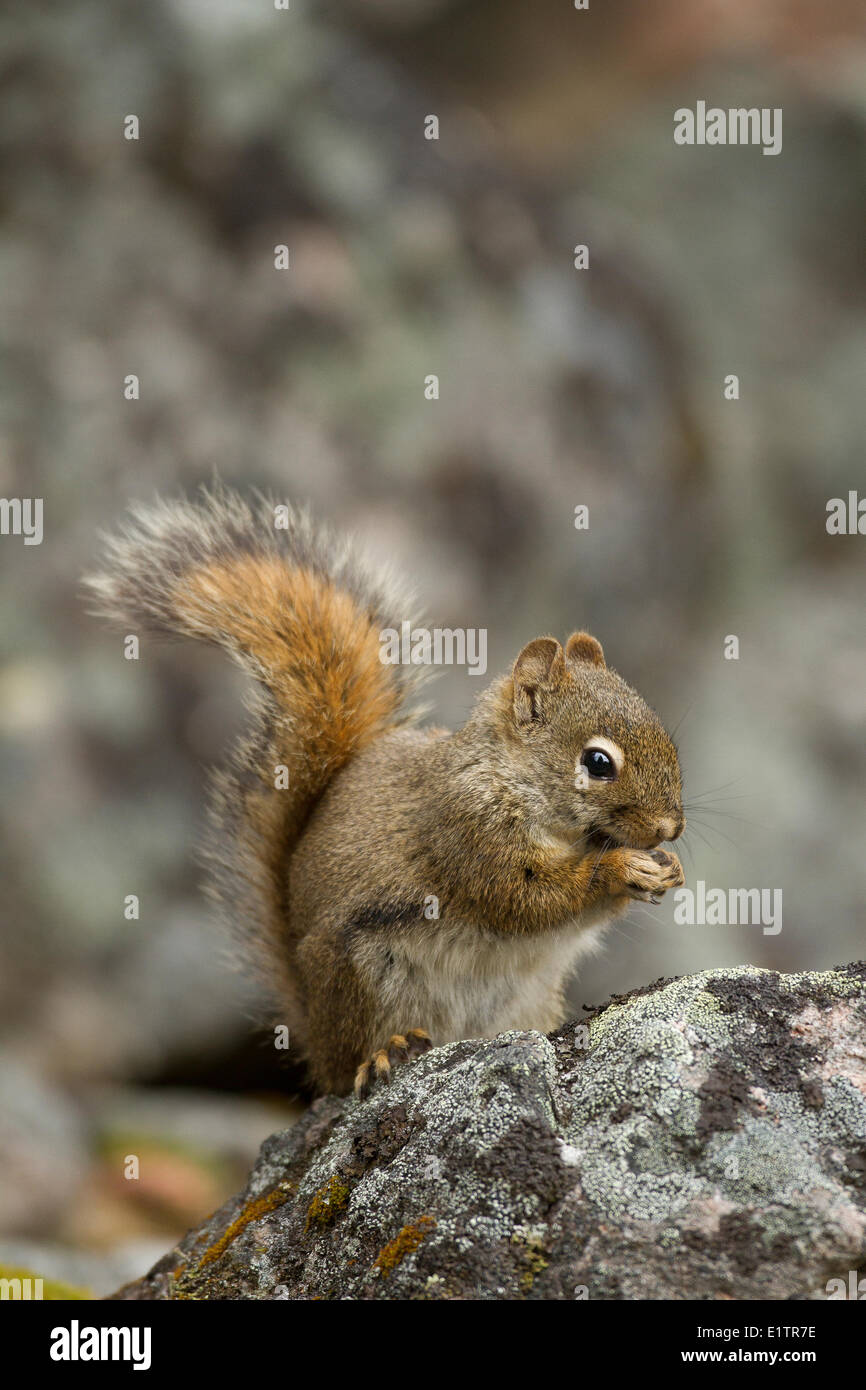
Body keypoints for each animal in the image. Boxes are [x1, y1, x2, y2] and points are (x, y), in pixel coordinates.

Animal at [86, 484, 686, 1098]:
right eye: (597, 762)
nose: (671, 827)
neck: (515, 783)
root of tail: (314, 1038)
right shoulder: (465, 831)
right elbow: (526, 898)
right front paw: (622, 868)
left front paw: (666, 868)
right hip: (361, 976)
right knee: (353, 1056)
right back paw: (382, 1054)